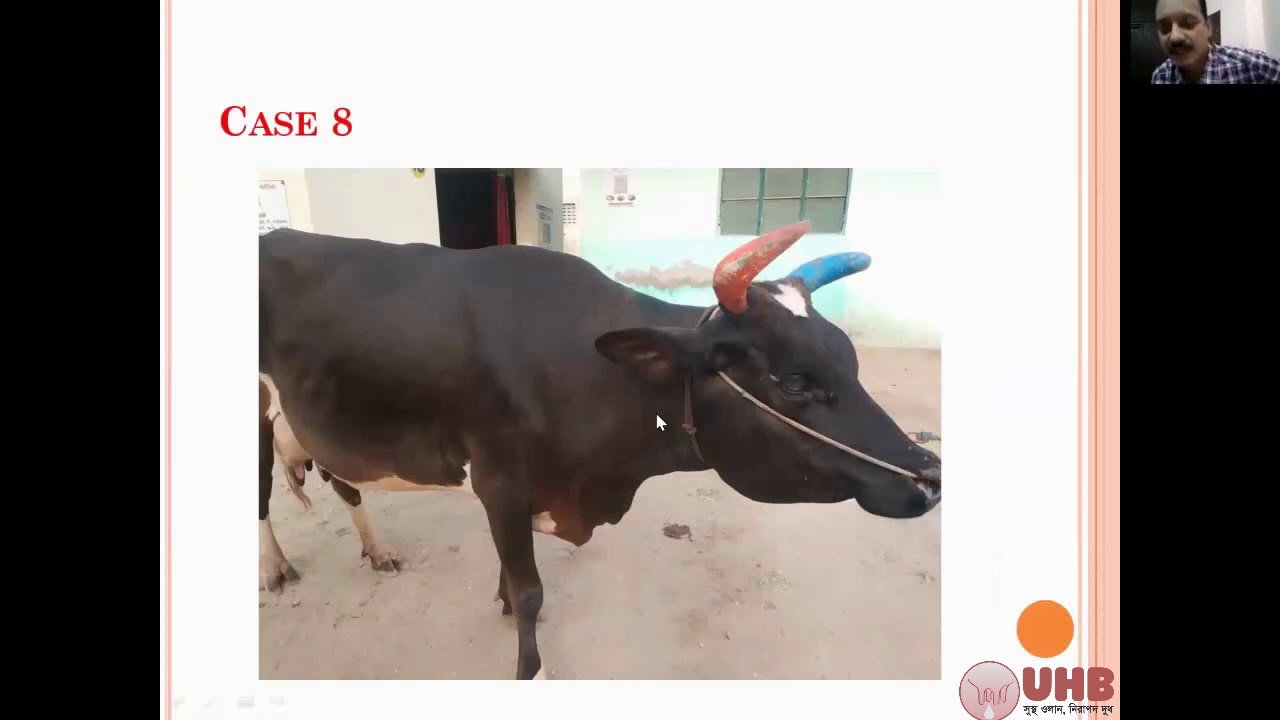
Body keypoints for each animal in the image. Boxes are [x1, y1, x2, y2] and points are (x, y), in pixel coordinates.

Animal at [258, 220, 941, 680]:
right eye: (794, 381)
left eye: (851, 360)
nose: (930, 474)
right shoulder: (499, 480)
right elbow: (530, 588)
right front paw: (529, 664)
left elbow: (514, 575)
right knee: (262, 497)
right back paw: (276, 569)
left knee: (343, 483)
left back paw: (377, 551)